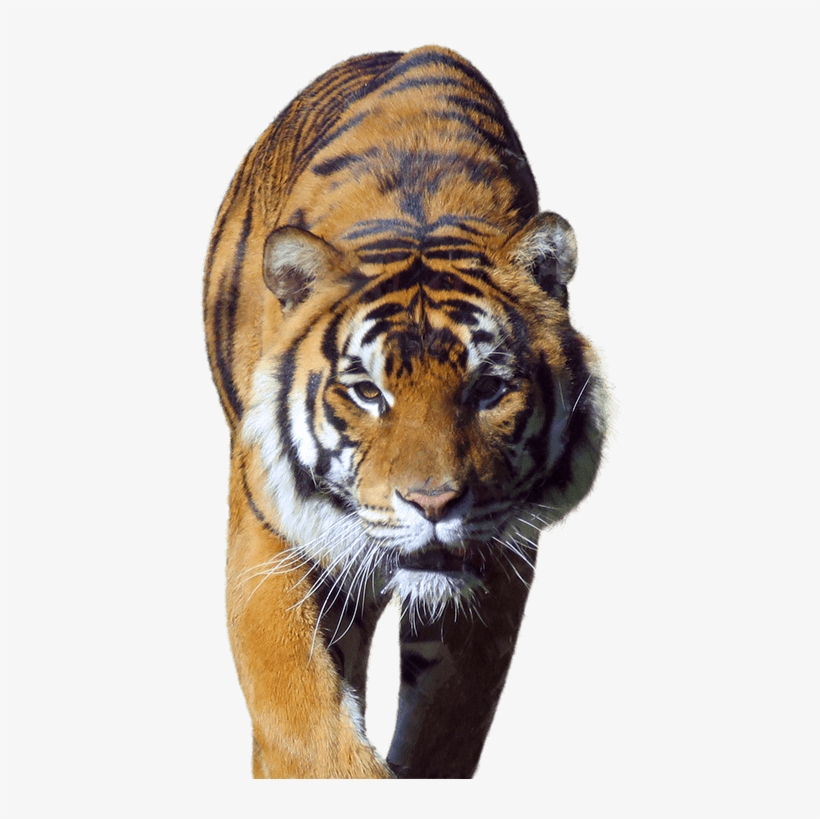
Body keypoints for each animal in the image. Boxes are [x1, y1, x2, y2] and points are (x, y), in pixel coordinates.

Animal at [203, 45, 606, 779]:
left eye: (487, 389)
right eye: (368, 392)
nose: (434, 502)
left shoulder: (499, 566)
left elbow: (443, 730)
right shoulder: (266, 537)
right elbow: (307, 729)